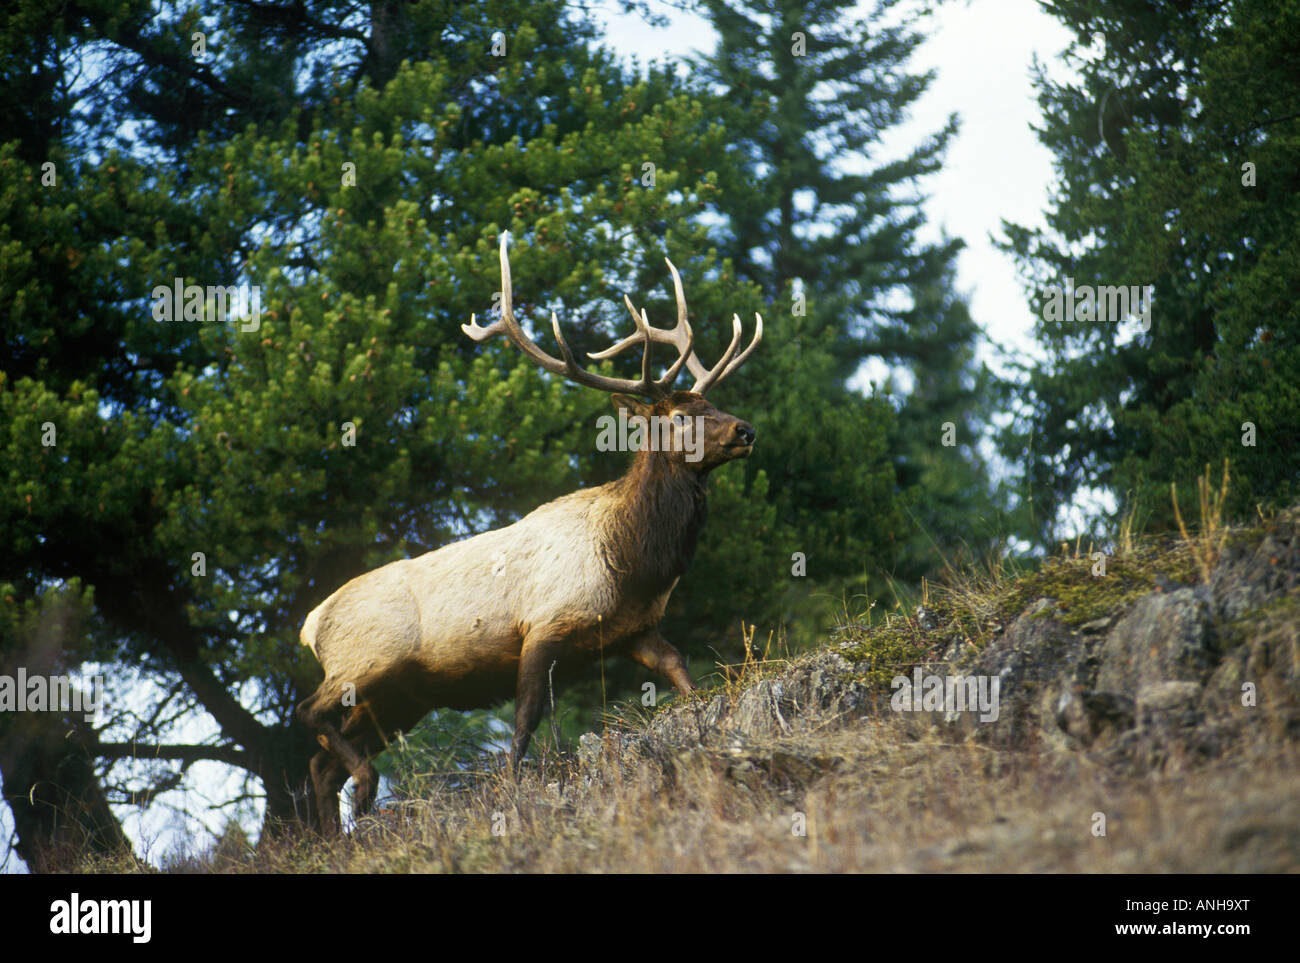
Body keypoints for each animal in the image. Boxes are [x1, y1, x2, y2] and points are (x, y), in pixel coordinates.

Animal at [295, 232, 762, 835]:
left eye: (711, 402)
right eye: (680, 416)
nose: (745, 430)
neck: (631, 561)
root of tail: (311, 625)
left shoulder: (634, 629)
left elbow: (682, 671)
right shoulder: (544, 625)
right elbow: (524, 722)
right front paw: (513, 790)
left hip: (398, 698)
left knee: (321, 763)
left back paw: (338, 833)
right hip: (367, 663)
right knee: (308, 713)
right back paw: (363, 790)